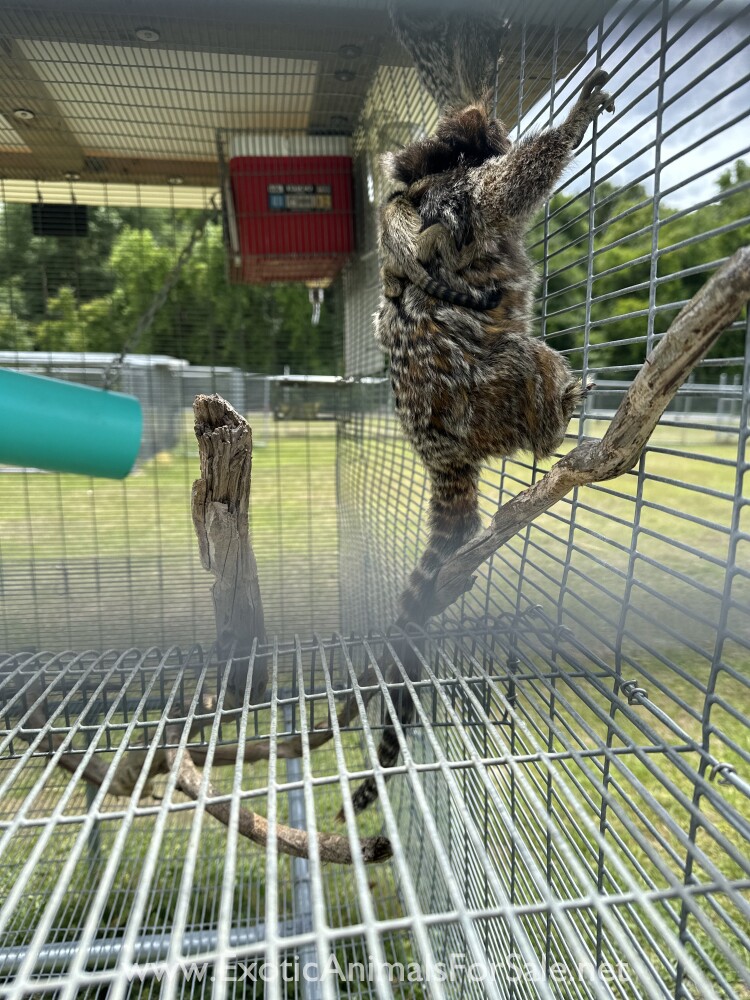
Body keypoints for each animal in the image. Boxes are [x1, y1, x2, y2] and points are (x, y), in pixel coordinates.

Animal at [344, 68, 615, 818]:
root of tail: (437, 449)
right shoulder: (463, 197)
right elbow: (506, 187)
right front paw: (576, 116)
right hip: (484, 398)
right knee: (525, 358)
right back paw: (553, 420)